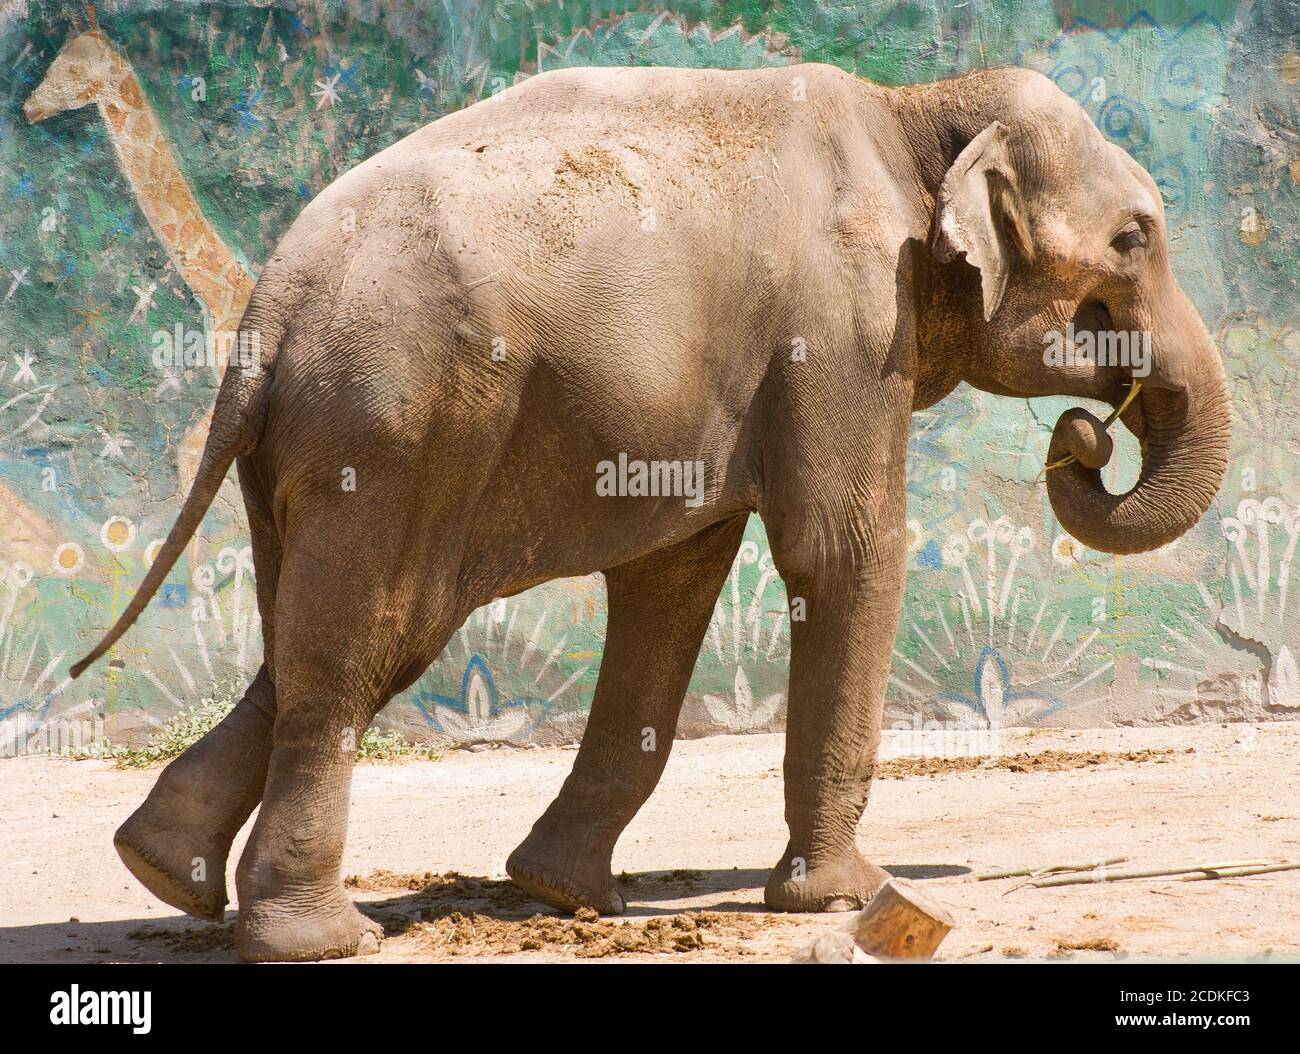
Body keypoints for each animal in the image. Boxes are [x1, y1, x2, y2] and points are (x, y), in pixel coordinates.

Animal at [67, 62, 1230, 961]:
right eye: (1134, 238)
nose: (1089, 430)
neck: (918, 112)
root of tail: (270, 307)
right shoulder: (847, 325)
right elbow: (840, 553)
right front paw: (842, 898)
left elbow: (674, 577)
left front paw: (562, 895)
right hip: (396, 428)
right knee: (365, 646)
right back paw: (320, 937)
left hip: (322, 446)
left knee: (334, 641)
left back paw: (163, 870)